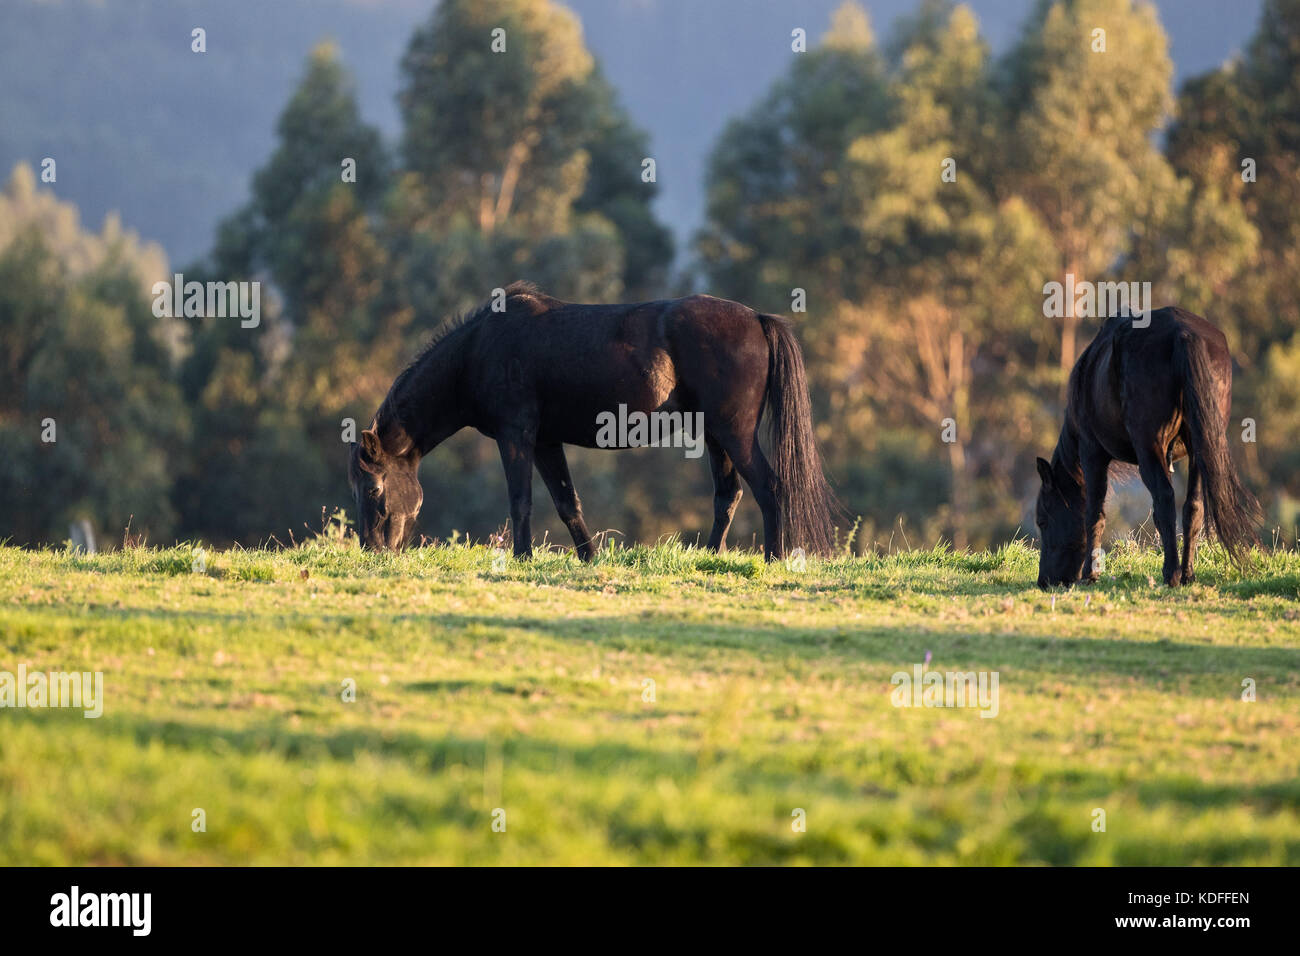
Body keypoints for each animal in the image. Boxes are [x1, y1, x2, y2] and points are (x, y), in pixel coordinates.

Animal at [348, 282, 838, 561]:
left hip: (733, 433)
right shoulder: (545, 442)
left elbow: (521, 500)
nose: (372, 551)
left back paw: (774, 559)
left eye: (372, 489)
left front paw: (523, 559)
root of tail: (756, 318)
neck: (477, 351)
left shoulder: (516, 435)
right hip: (716, 435)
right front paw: (589, 558)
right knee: (728, 495)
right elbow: (567, 502)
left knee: (769, 487)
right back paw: (711, 559)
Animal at [1034, 305, 1258, 588]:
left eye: (1042, 521)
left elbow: (1094, 513)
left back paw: (1171, 573)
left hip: (1149, 448)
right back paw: (1187, 574)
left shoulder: (1092, 451)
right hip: (1200, 448)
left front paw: (1090, 574)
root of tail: (1183, 334)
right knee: (1193, 507)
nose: (1044, 581)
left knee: (1164, 500)